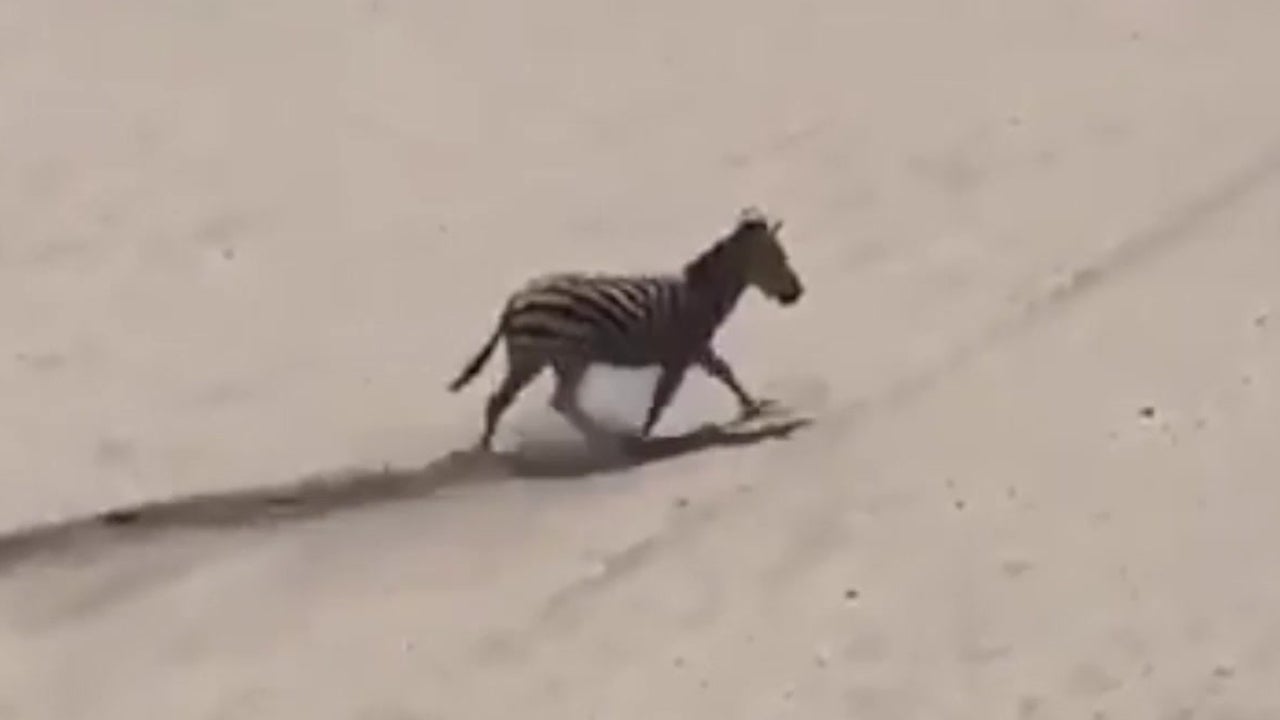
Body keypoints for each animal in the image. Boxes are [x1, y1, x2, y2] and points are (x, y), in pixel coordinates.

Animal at [448, 208, 804, 451]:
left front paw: (754, 406)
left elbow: (725, 374)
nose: (797, 293)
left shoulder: (696, 350)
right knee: (518, 401)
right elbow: (663, 398)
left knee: (546, 401)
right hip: (549, 359)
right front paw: (643, 435)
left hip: (550, 359)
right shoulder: (684, 351)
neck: (703, 295)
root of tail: (515, 301)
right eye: (778, 260)